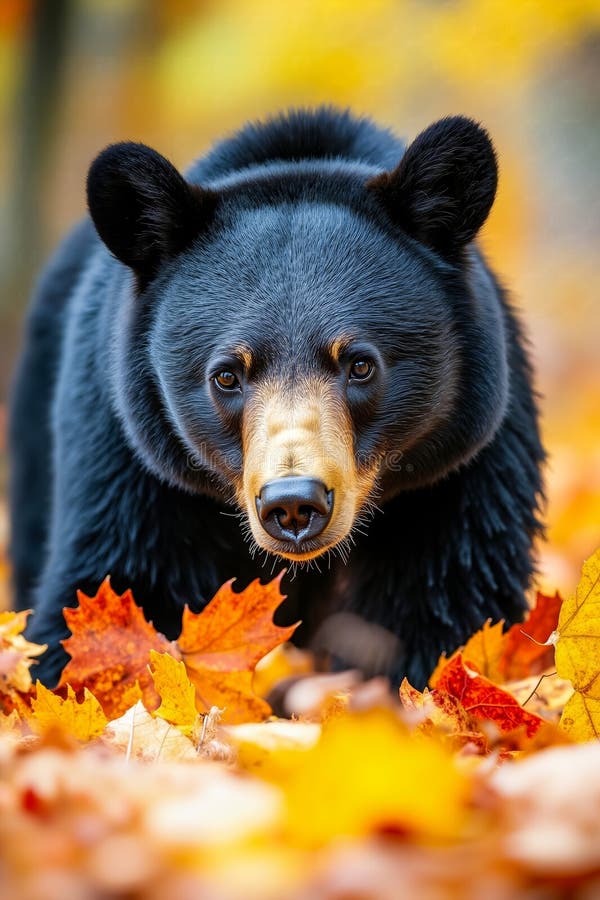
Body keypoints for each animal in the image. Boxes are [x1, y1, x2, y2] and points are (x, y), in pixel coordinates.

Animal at [9, 107, 544, 689]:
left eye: (360, 365)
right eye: (226, 376)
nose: (293, 503)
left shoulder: (459, 470)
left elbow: (450, 595)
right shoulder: (125, 461)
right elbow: (119, 581)